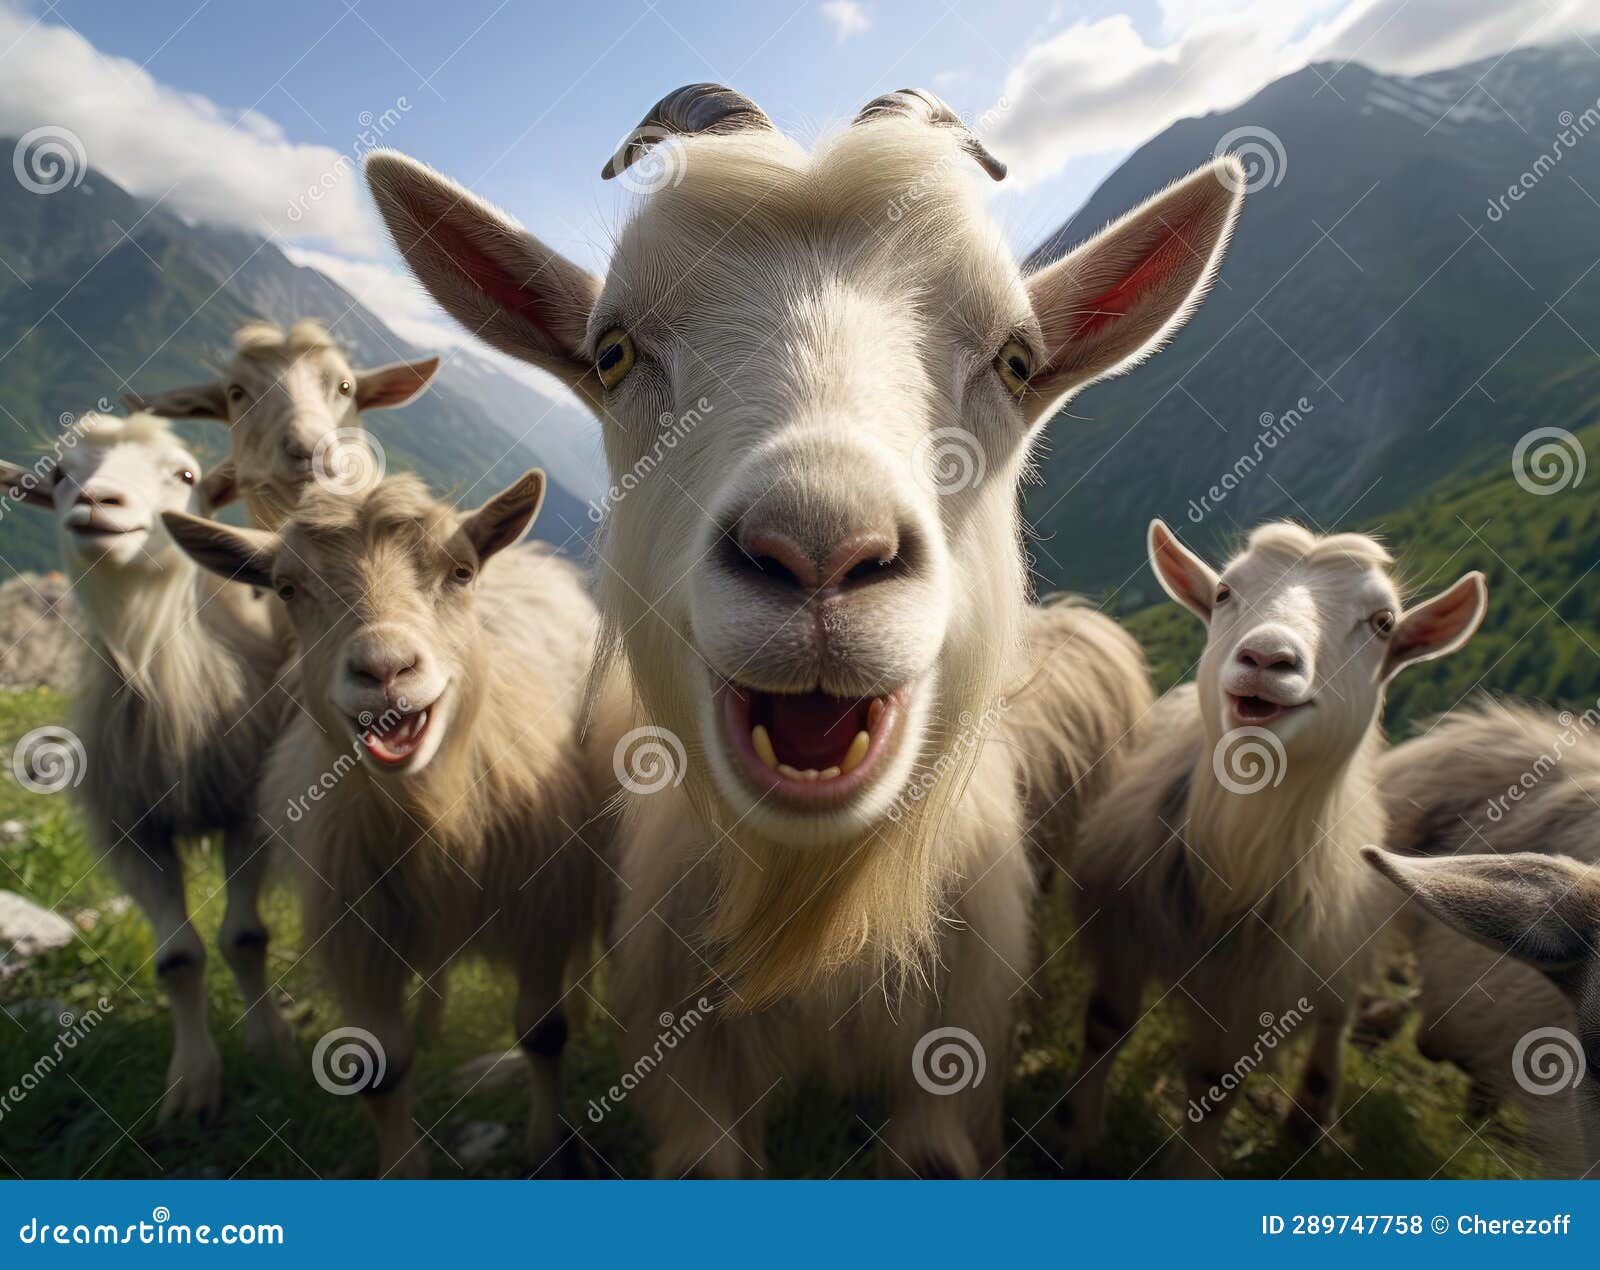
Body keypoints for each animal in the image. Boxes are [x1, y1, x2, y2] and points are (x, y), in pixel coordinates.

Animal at [0, 414, 294, 1121]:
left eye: (185, 475)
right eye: (60, 474)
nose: (96, 501)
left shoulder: (248, 813)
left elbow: (245, 938)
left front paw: (270, 1046)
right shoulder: (131, 829)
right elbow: (178, 960)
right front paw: (192, 1086)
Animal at [163, 470, 626, 1177]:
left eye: (460, 571)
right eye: (288, 588)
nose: (385, 669)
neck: (435, 813)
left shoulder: (543, 910)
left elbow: (545, 1033)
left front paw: (552, 1146)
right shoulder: (360, 934)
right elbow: (381, 1068)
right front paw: (402, 1165)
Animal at [361, 84, 1241, 1177]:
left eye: (1016, 360)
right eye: (611, 353)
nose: (820, 548)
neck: (814, 908)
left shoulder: (951, 1048)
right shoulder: (692, 1059)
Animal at [1063, 519, 1486, 1176]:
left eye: (1383, 622)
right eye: (1223, 592)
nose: (1266, 658)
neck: (1225, 885)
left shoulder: (1251, 995)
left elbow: (1215, 1083)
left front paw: (1189, 1170)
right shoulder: (1123, 934)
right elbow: (1105, 1025)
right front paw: (1078, 1137)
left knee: (1335, 1016)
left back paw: (1310, 1114)